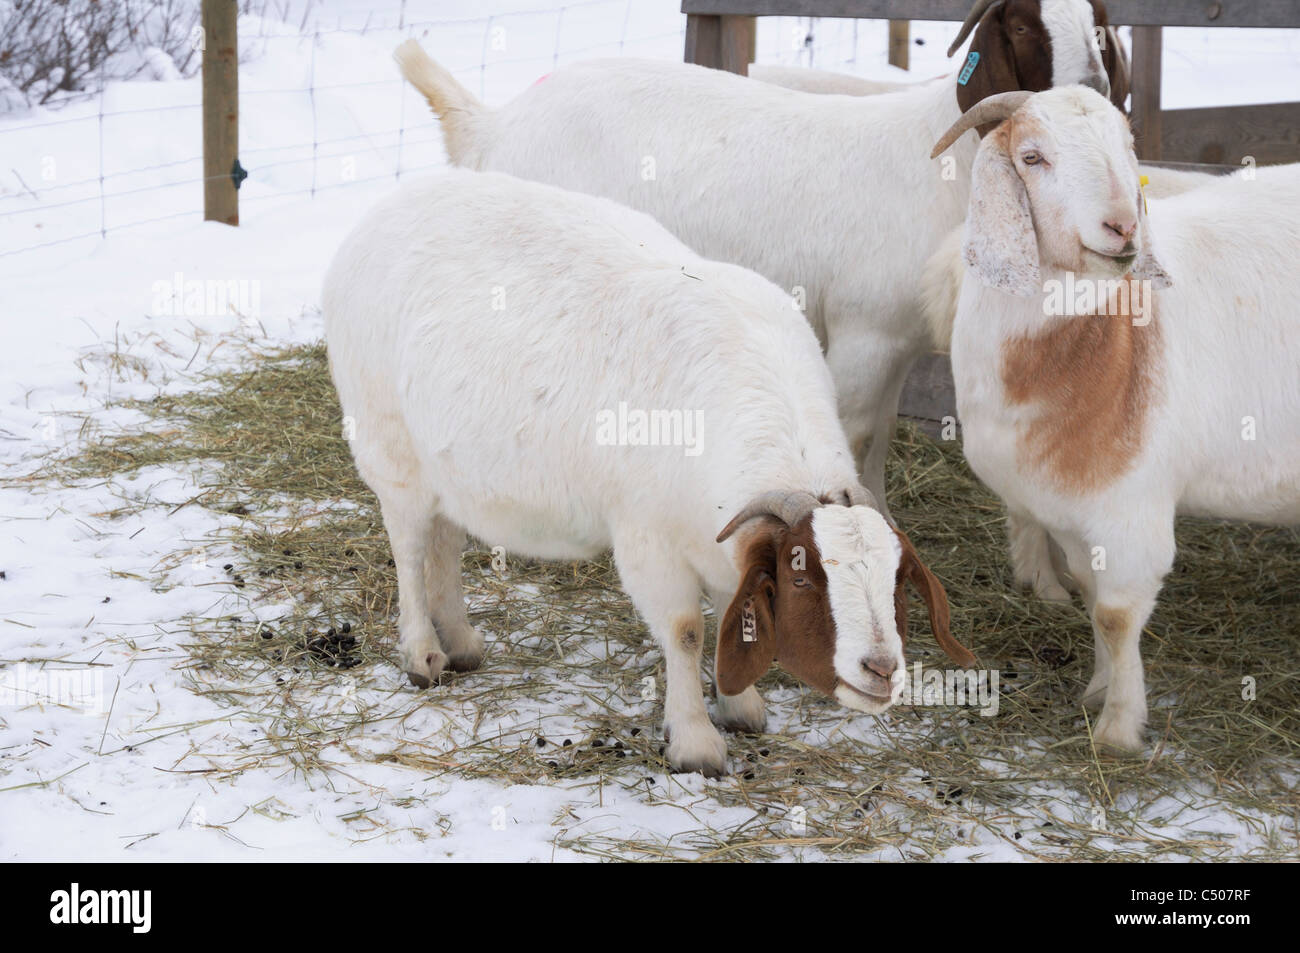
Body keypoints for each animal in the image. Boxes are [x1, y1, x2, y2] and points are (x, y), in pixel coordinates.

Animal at [322, 169, 975, 777]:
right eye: (804, 579)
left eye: (895, 579)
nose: (881, 668)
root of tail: (381, 210)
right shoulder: (648, 538)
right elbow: (686, 630)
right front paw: (695, 742)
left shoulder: (720, 538)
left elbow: (733, 610)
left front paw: (741, 706)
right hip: (390, 445)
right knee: (409, 547)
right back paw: (423, 654)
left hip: (449, 468)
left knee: (446, 541)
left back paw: (460, 641)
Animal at [393, 0, 1113, 519]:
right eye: (1020, 25)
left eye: (1100, 28)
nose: (1093, 94)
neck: (945, 160)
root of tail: (492, 126)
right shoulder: (863, 333)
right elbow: (852, 436)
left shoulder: (895, 342)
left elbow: (879, 435)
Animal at [932, 87, 1300, 752]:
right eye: (1032, 157)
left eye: (1128, 148)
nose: (1124, 226)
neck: (1107, 340)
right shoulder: (1071, 514)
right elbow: (1088, 591)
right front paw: (1098, 690)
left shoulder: (1133, 508)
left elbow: (1116, 613)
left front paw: (1118, 730)